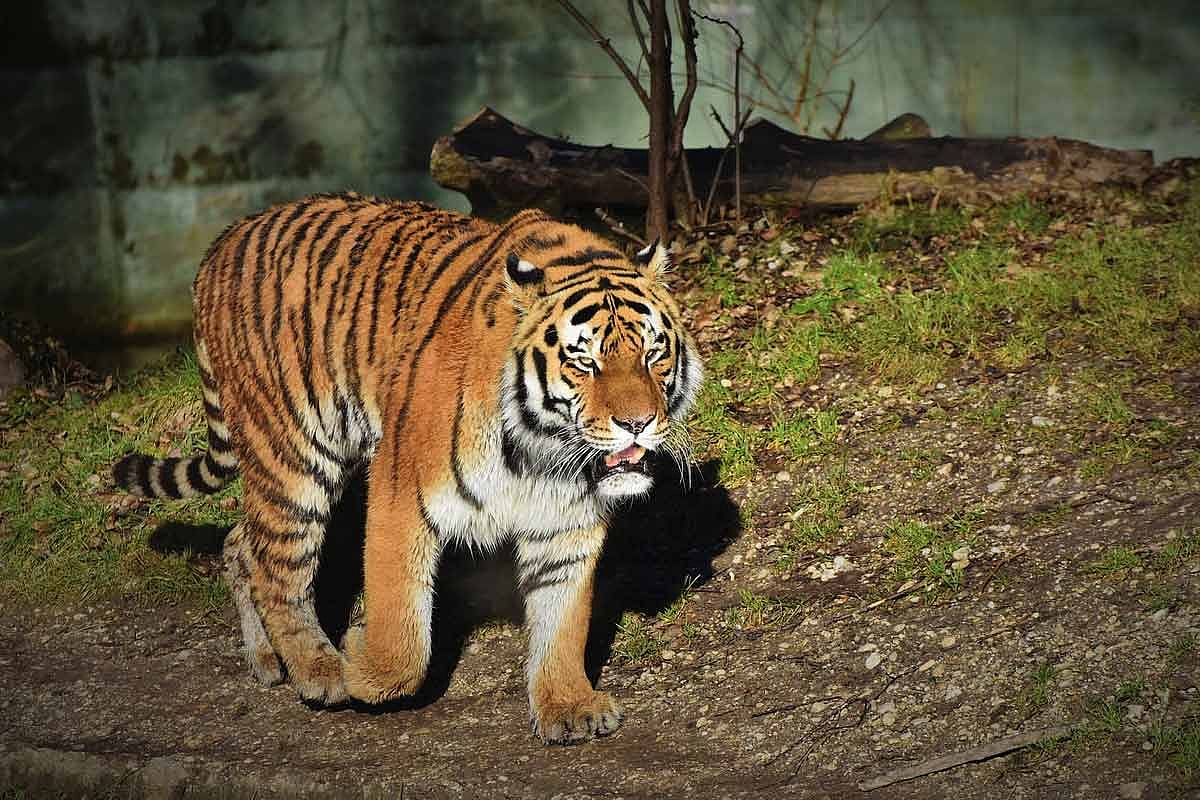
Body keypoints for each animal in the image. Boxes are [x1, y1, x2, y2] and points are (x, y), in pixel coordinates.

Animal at [113, 192, 702, 743]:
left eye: (654, 353)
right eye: (585, 361)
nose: (637, 423)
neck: (541, 449)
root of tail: (224, 240)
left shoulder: (567, 522)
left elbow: (563, 622)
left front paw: (568, 705)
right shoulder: (401, 490)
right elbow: (403, 634)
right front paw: (358, 662)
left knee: (242, 543)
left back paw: (267, 660)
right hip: (294, 456)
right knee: (278, 569)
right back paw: (318, 670)